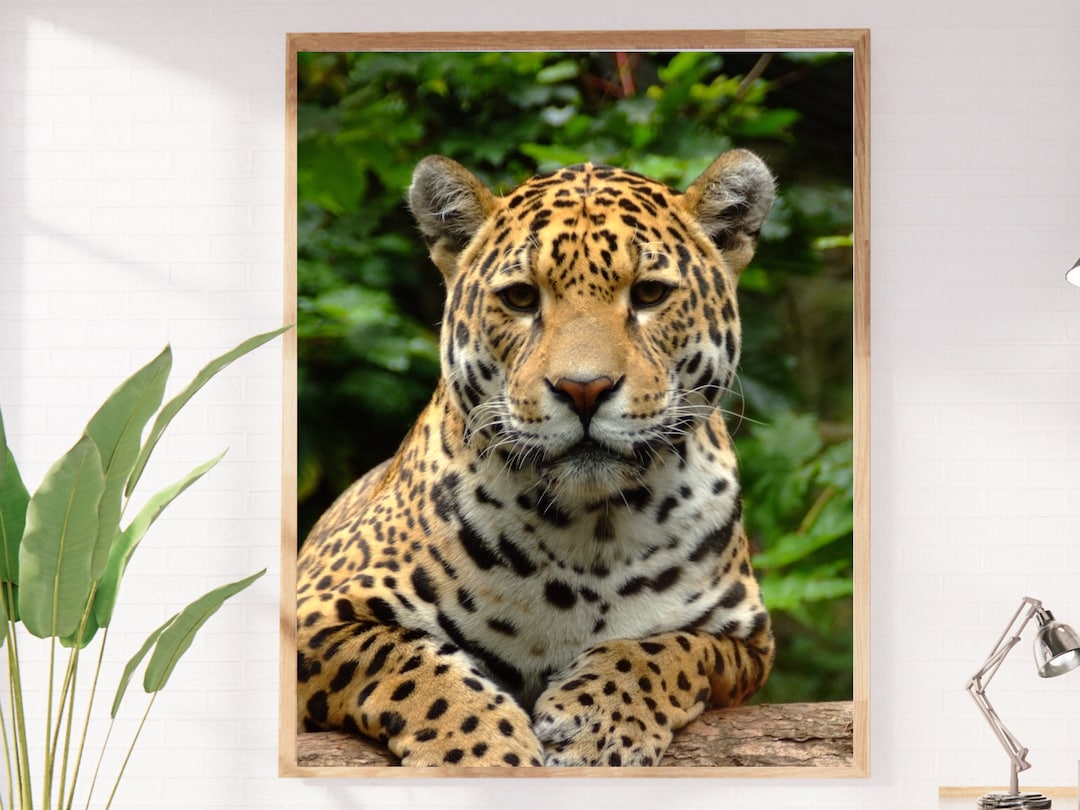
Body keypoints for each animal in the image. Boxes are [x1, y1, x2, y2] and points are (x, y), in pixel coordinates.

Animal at [296, 149, 777, 768]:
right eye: (522, 298)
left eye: (649, 294)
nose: (584, 389)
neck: (592, 533)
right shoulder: (313, 612)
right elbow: (412, 663)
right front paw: (484, 756)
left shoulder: (746, 641)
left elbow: (667, 648)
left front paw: (600, 727)